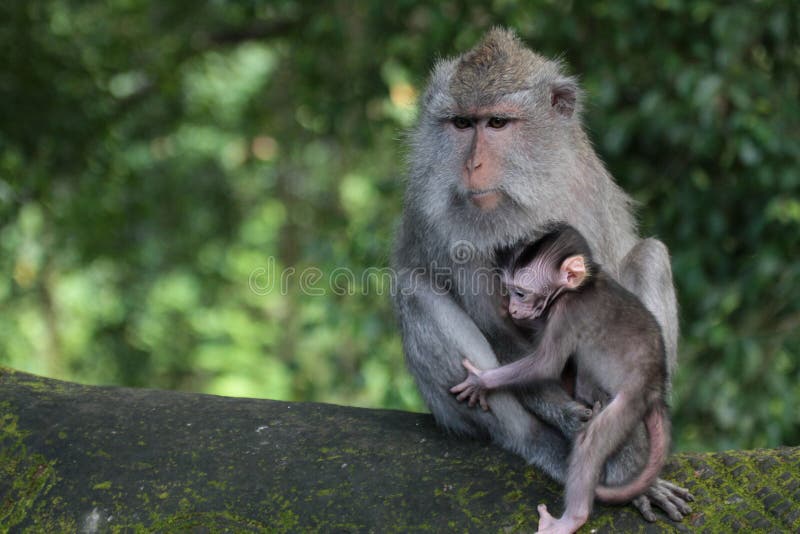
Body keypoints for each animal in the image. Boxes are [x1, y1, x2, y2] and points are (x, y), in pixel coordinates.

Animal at [451, 224, 671, 534]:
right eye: (510, 292)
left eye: (520, 293)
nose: (513, 309)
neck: (581, 286)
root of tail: (655, 387)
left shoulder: (568, 311)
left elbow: (546, 365)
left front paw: (480, 380)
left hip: (629, 402)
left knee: (590, 444)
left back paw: (571, 519)